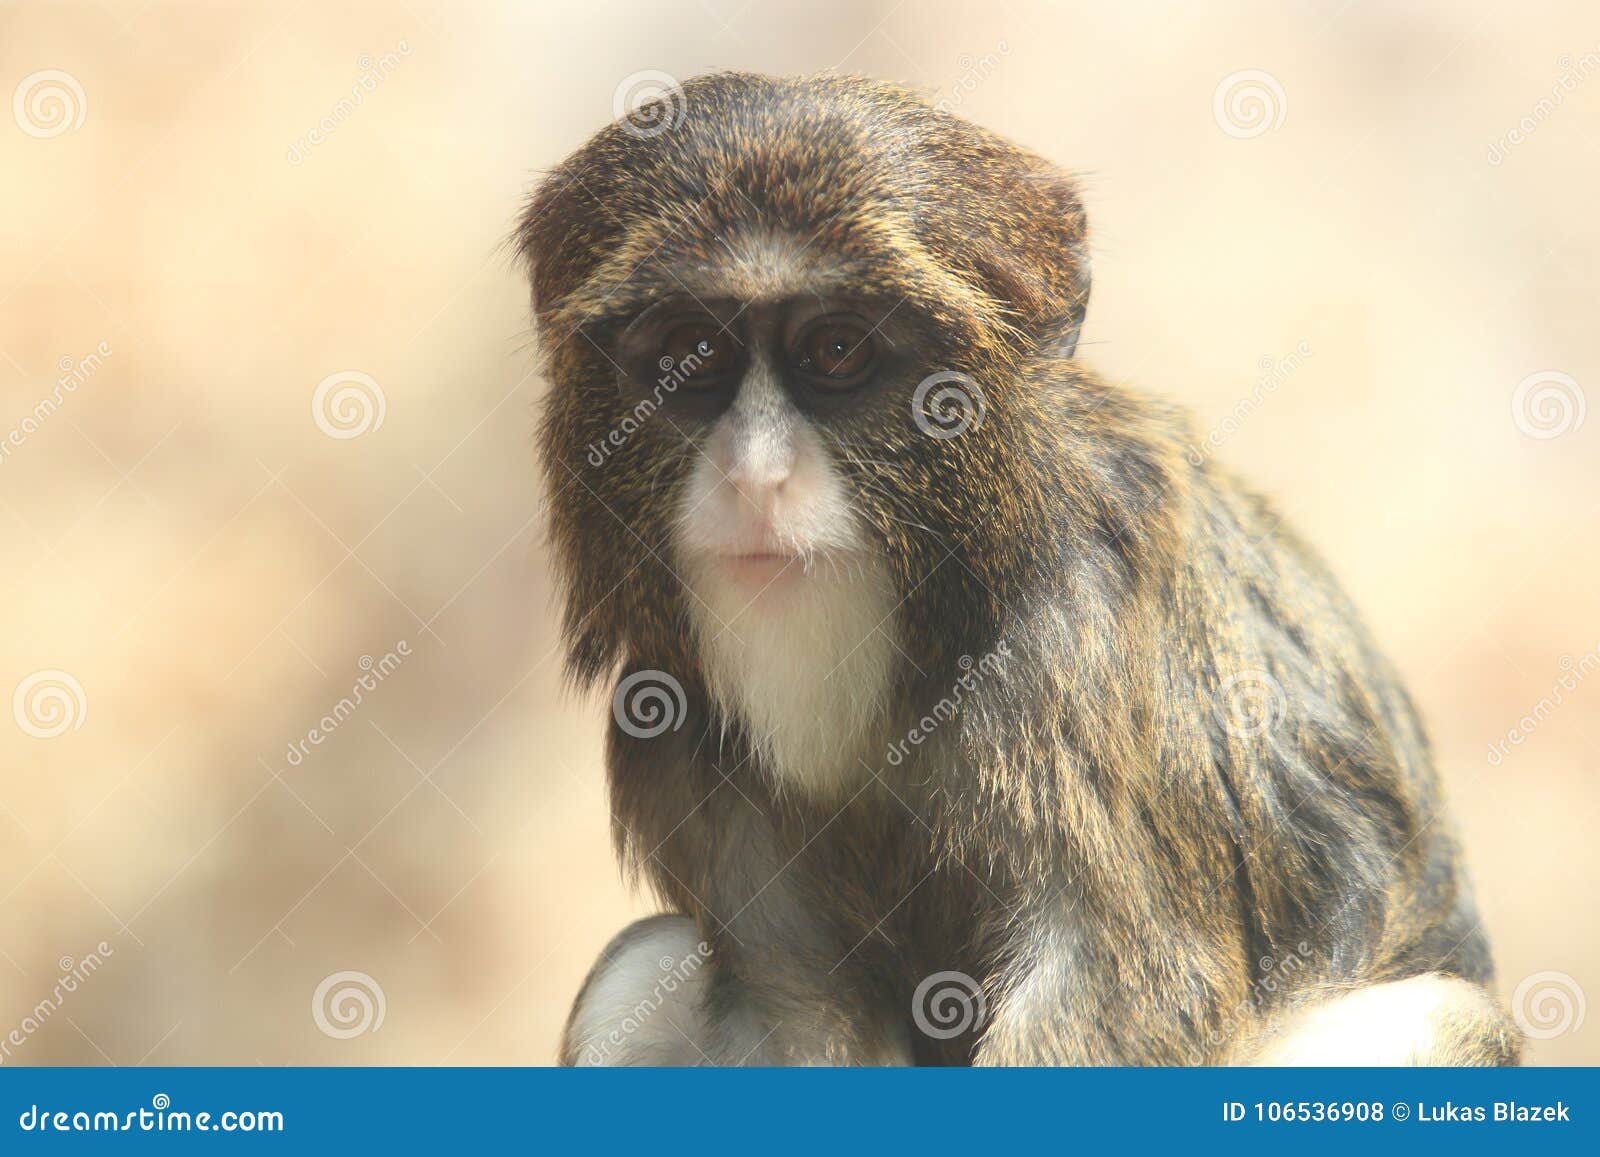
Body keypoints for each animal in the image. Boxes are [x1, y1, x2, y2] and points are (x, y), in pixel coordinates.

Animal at [516, 72, 1521, 1066]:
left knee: (1436, 1018)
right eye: (690, 352)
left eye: (836, 349)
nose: (755, 475)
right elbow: (791, 1010)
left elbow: (1128, 989)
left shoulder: (1079, 640)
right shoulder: (672, 723)